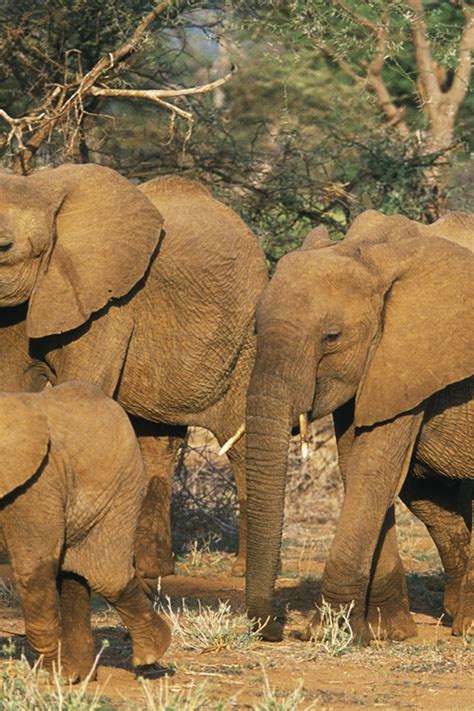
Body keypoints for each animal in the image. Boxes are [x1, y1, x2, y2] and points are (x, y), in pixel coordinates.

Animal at [0, 163, 268, 581]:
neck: (41, 188)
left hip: (246, 338)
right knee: (156, 442)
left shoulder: (108, 306)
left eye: (5, 249)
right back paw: (151, 570)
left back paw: (239, 573)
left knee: (239, 443)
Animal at [0, 381, 171, 681]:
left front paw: (52, 677)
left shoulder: (35, 486)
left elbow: (33, 568)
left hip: (121, 491)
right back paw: (81, 674)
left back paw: (147, 655)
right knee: (74, 575)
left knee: (106, 577)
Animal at [244, 210, 473, 642]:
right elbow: (357, 468)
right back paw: (460, 616)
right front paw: (388, 632)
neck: (373, 257)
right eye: (255, 329)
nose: (274, 629)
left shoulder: (406, 357)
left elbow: (373, 470)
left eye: (332, 337)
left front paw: (325, 632)